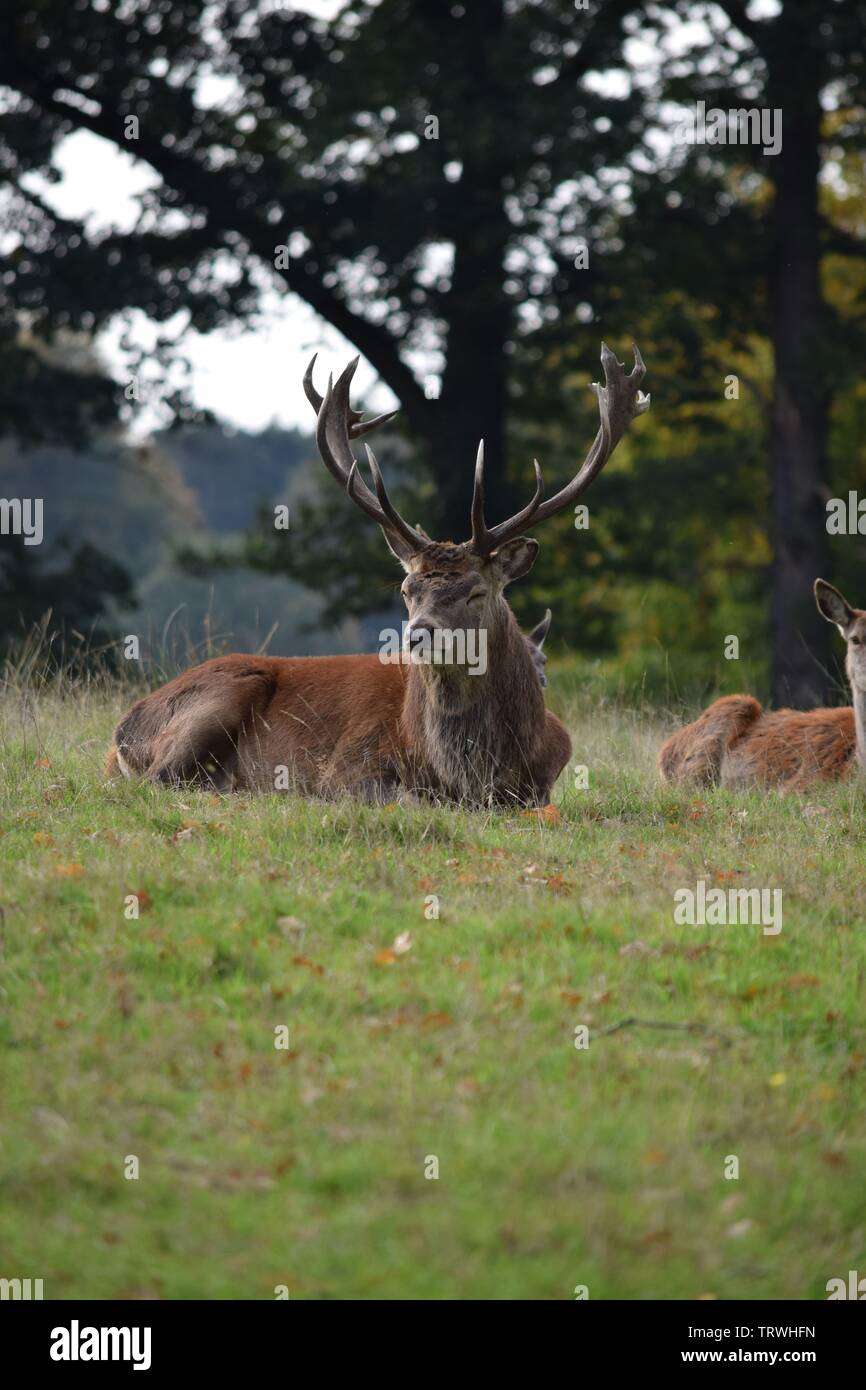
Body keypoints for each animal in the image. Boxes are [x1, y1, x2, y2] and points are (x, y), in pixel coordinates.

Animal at [107, 342, 649, 807]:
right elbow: (404, 798)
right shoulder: (347, 767)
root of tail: (122, 731)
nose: (418, 635)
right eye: (408, 589)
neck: (470, 776)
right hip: (218, 697)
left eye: (476, 592)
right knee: (161, 780)